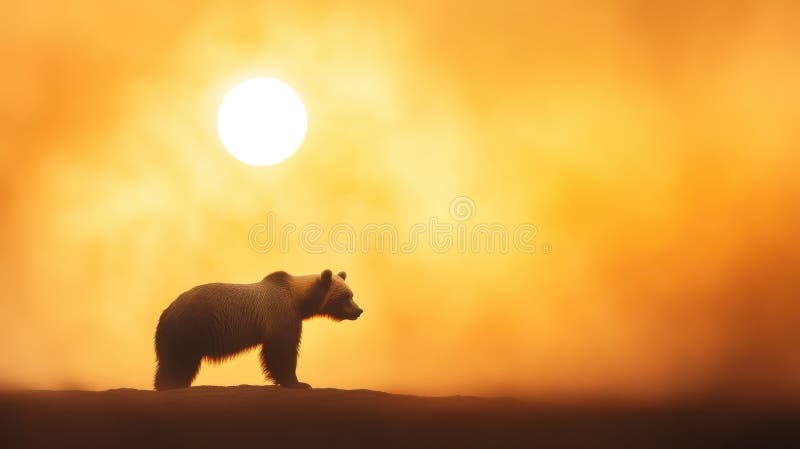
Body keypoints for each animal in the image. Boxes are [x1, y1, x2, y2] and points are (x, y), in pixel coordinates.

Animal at [154, 269, 362, 390]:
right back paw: (170, 385)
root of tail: (166, 311)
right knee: (178, 360)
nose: (359, 311)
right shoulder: (280, 313)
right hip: (190, 328)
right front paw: (299, 383)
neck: (298, 298)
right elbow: (282, 349)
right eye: (347, 296)